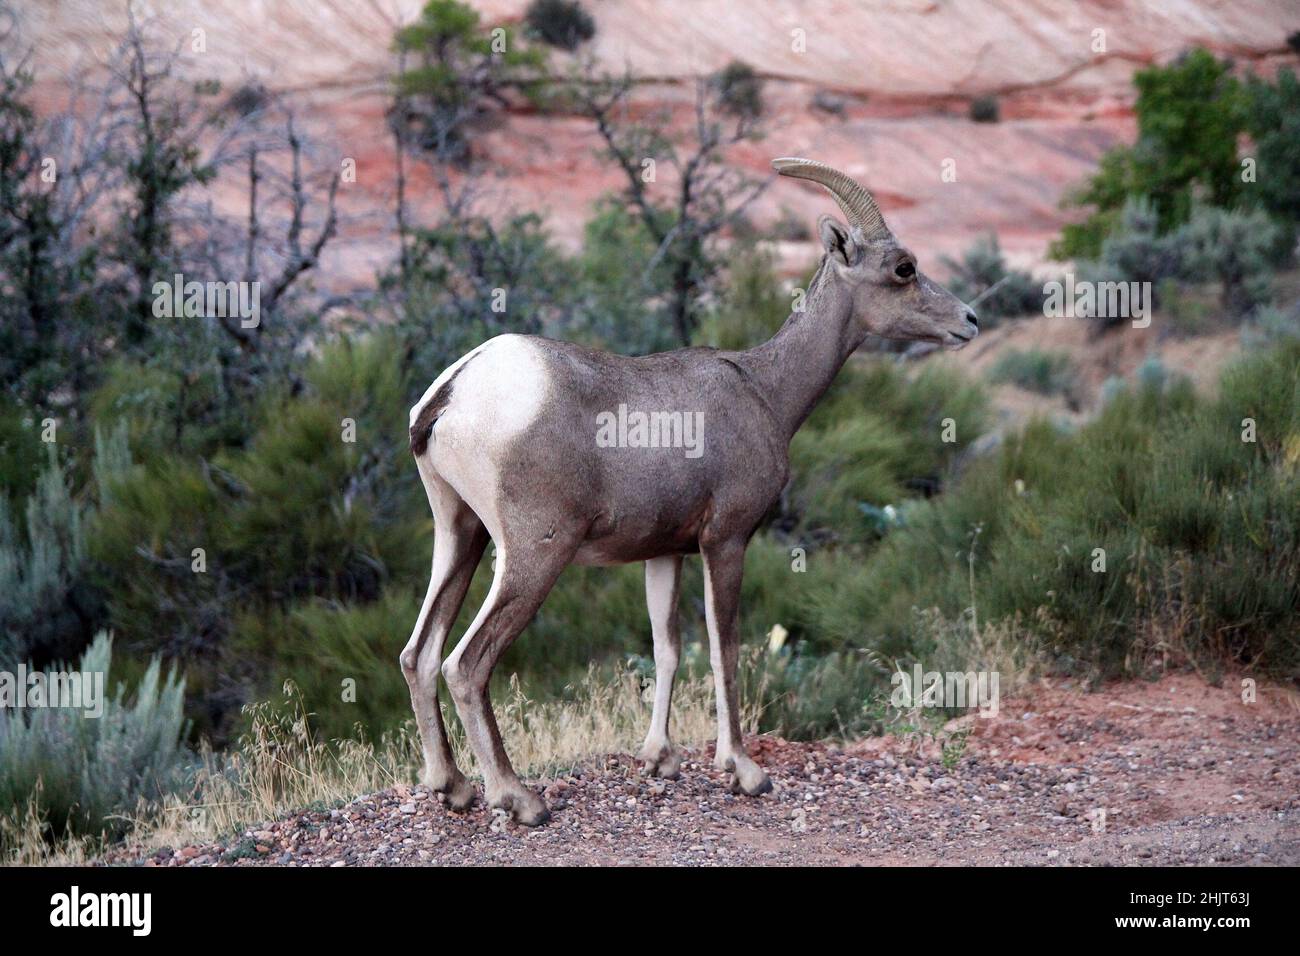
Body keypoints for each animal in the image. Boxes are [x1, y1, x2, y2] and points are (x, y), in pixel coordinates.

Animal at [401, 157, 979, 824]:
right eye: (903, 268)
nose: (969, 321)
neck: (764, 389)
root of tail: (453, 392)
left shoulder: (664, 553)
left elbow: (667, 647)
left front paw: (661, 760)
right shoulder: (725, 540)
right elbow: (724, 648)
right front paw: (745, 772)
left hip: (459, 536)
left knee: (419, 655)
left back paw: (453, 787)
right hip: (533, 555)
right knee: (466, 663)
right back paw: (519, 799)